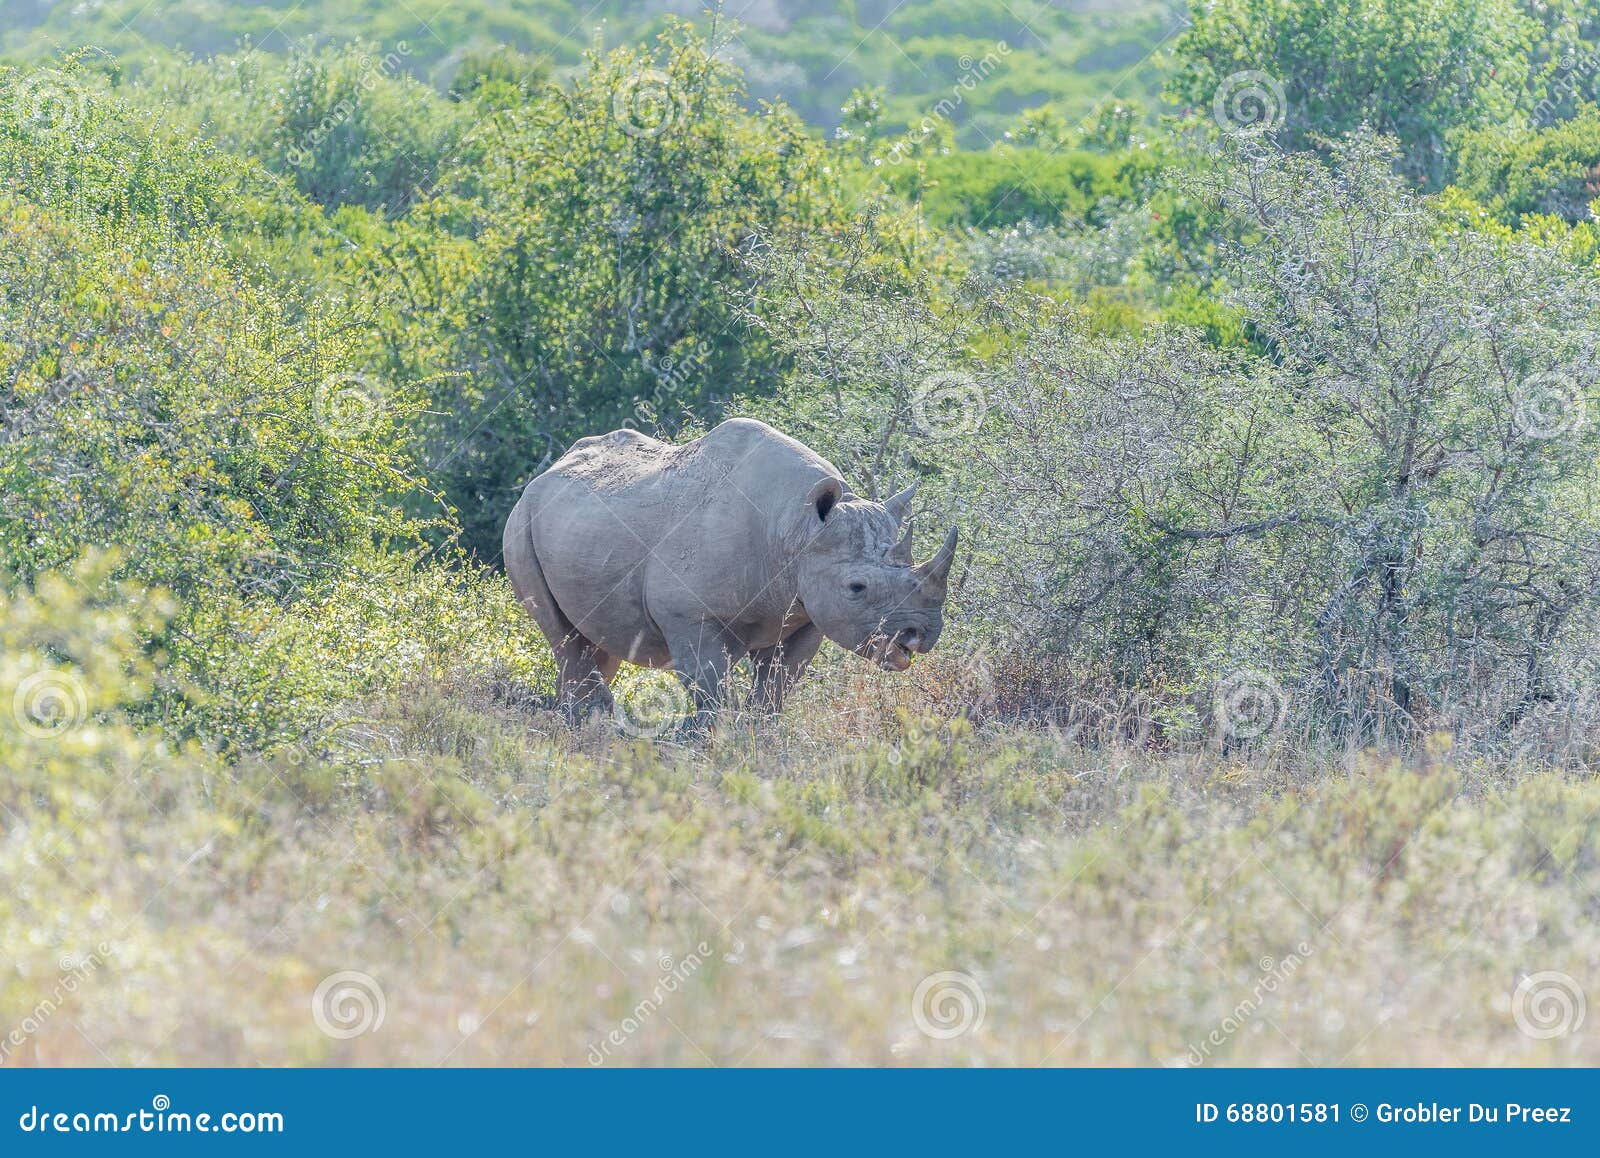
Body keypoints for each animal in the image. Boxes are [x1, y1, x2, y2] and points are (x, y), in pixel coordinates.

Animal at [502, 418, 958, 722]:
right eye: (857, 587)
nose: (920, 634)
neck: (796, 528)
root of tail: (547, 471)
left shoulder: (807, 613)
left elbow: (777, 687)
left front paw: (760, 736)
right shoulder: (688, 615)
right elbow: (712, 690)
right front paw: (717, 743)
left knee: (598, 644)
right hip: (521, 520)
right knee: (564, 638)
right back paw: (594, 722)